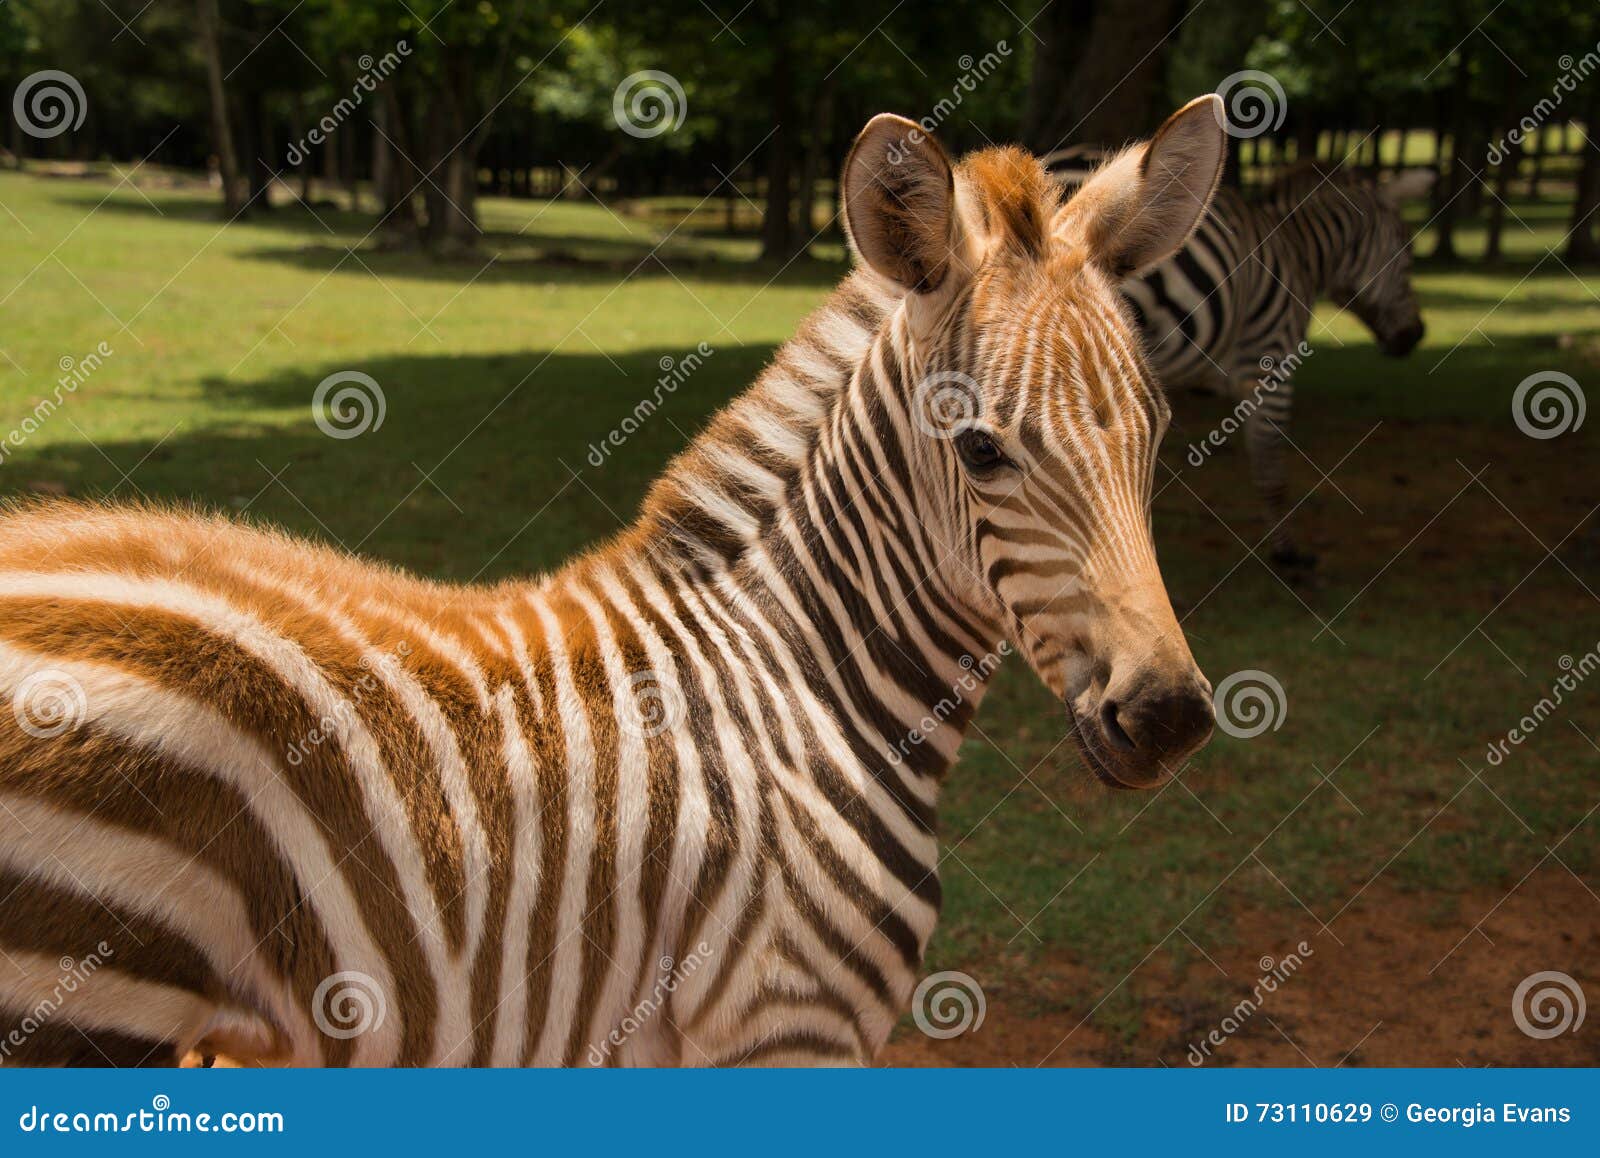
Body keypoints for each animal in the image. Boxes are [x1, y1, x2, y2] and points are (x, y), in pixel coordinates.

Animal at [1043, 146, 1433, 568]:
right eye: (1408, 252)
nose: (1416, 335)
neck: (1299, 251)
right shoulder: (1271, 362)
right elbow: (1270, 464)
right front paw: (1287, 553)